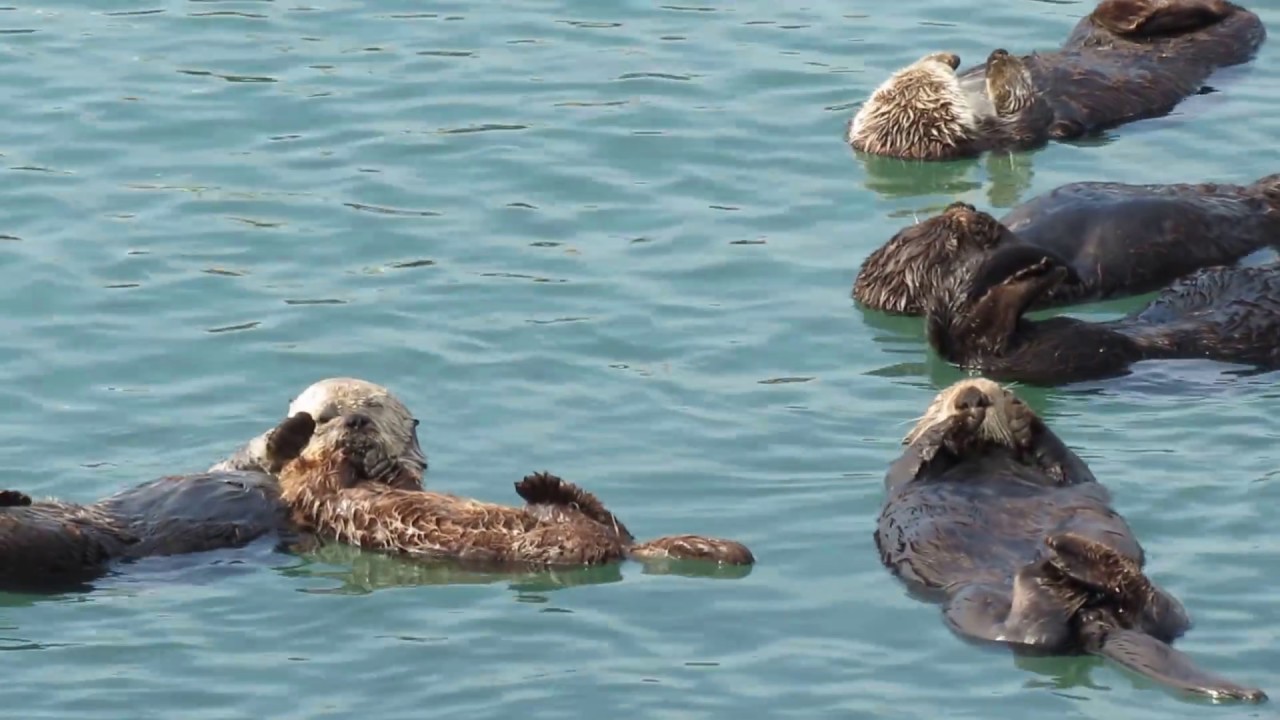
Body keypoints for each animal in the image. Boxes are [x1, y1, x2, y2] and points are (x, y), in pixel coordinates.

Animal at [0, 378, 425, 592]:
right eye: (324, 417)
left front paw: (385, 464)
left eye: (372, 406)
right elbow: (251, 454)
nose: (354, 422)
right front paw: (292, 429)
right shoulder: (245, 464)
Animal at [847, 0, 1265, 160]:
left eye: (945, 70)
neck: (978, 111)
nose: (951, 59)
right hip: (1231, 30)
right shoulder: (1017, 131)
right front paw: (1002, 65)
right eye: (936, 77)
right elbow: (1026, 106)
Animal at [876, 378, 1267, 702]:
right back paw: (1055, 569)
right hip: (969, 602)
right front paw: (949, 425)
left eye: (997, 389)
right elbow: (910, 461)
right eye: (940, 398)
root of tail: (1096, 618)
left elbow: (1071, 463)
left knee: (1156, 611)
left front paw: (1023, 415)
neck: (981, 454)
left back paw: (1073, 558)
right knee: (1033, 636)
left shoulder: (1070, 472)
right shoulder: (902, 474)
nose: (972, 396)